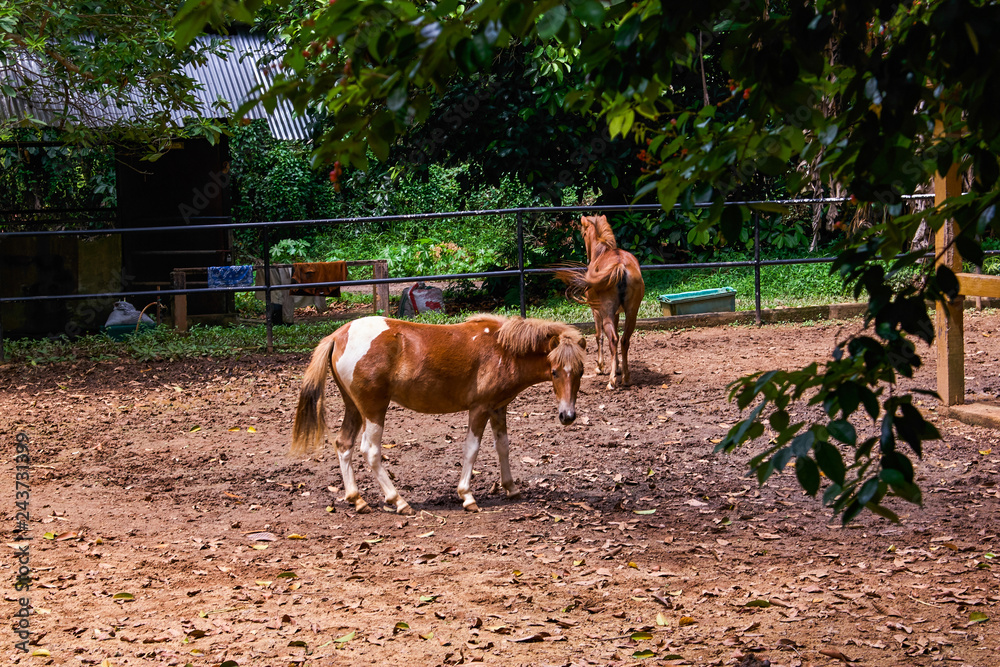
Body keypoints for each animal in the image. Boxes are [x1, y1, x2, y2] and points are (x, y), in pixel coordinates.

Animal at [291, 314, 586, 515]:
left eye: (580, 371)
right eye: (554, 372)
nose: (567, 416)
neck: (502, 350)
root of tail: (339, 335)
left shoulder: (497, 407)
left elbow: (502, 446)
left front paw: (511, 488)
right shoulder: (479, 408)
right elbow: (472, 449)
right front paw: (467, 496)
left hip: (354, 407)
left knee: (344, 445)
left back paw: (358, 500)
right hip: (374, 409)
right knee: (371, 451)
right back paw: (399, 501)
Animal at [556, 214, 645, 389]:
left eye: (583, 234)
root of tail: (620, 265)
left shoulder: (596, 311)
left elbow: (599, 336)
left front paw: (600, 366)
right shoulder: (616, 314)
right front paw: (617, 367)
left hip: (607, 314)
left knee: (613, 339)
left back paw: (611, 381)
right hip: (632, 313)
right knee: (624, 340)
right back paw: (626, 378)